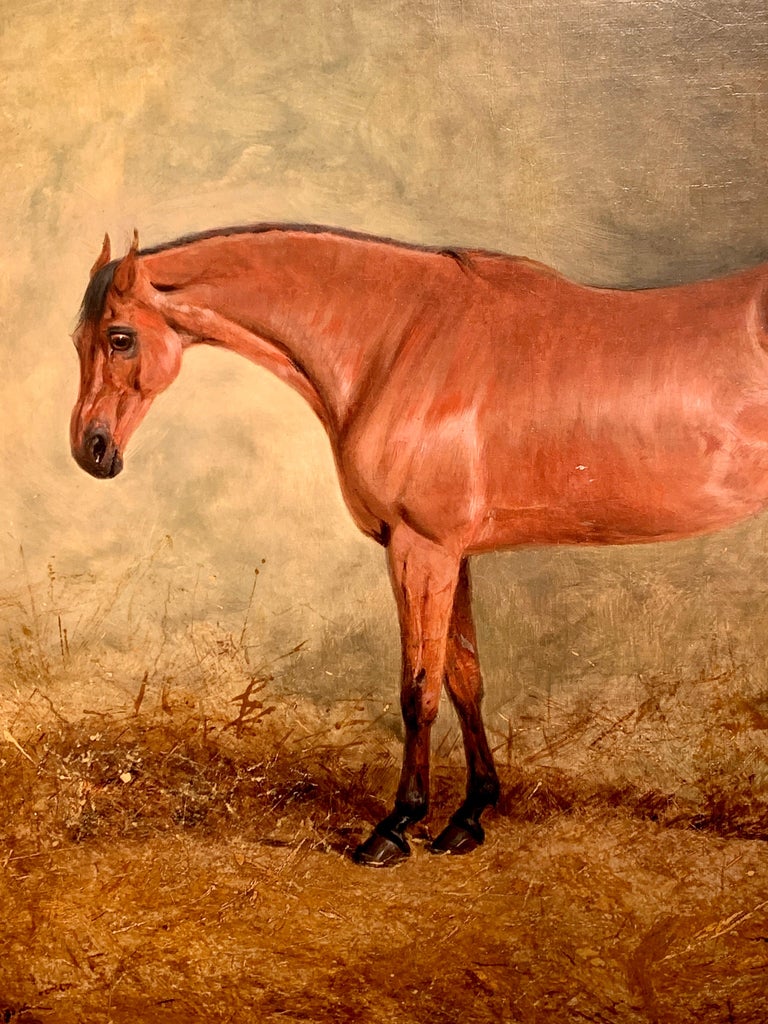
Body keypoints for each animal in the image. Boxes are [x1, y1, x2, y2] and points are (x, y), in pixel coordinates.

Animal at [70, 224, 768, 866]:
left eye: (120, 338)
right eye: (78, 341)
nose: (90, 450)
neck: (398, 341)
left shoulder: (420, 548)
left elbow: (419, 689)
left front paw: (396, 826)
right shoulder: (454, 555)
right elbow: (465, 679)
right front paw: (469, 817)